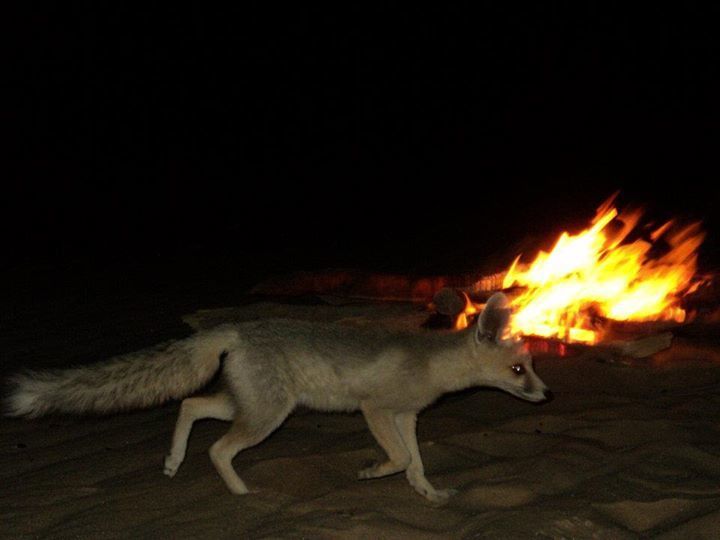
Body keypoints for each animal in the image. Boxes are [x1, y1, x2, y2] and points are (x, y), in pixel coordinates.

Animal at [4, 292, 551, 503]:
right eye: (519, 370)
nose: (547, 394)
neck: (432, 364)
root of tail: (240, 329)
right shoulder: (376, 410)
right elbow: (397, 460)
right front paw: (371, 472)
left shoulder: (408, 418)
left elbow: (416, 464)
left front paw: (430, 495)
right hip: (268, 416)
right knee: (217, 447)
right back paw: (242, 494)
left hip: (251, 405)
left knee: (189, 406)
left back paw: (173, 462)